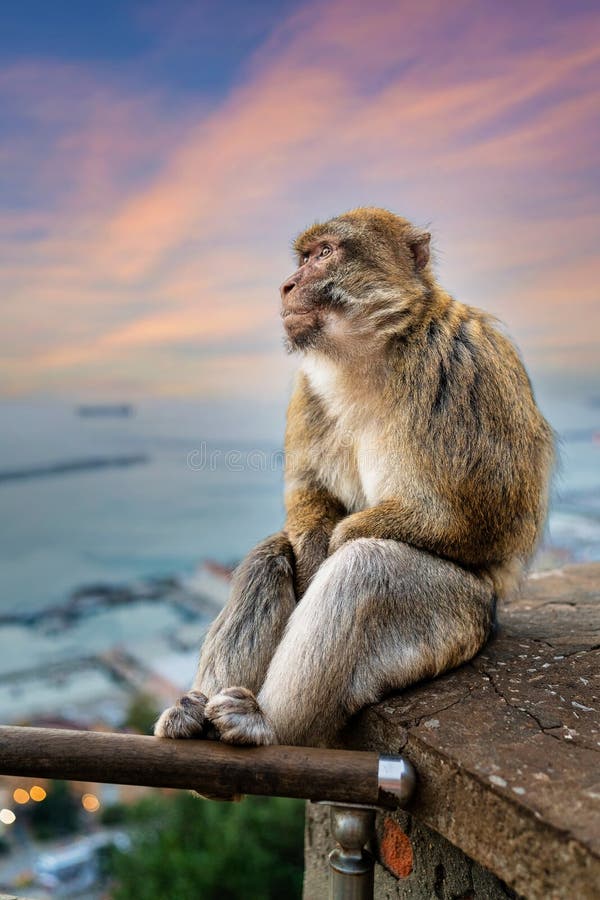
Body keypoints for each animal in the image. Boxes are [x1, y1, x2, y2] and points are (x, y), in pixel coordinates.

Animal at [154, 207, 554, 748]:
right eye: (302, 257)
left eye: (324, 254)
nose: (286, 284)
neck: (374, 350)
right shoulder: (309, 385)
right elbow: (310, 488)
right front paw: (311, 548)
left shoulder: (467, 363)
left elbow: (499, 519)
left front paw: (342, 537)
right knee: (270, 555)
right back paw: (196, 713)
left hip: (460, 619)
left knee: (368, 569)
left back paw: (268, 725)